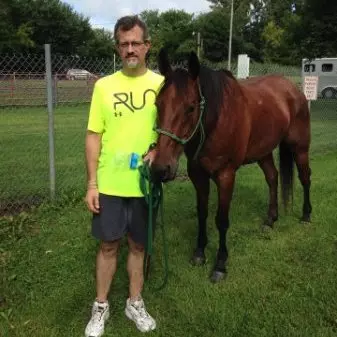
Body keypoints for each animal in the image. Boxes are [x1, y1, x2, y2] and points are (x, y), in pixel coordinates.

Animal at [151, 48, 312, 282]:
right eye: (158, 104)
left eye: (190, 108)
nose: (161, 168)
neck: (216, 120)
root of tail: (293, 89)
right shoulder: (197, 175)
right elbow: (202, 213)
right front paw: (199, 253)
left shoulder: (226, 176)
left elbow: (221, 220)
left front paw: (220, 264)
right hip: (264, 152)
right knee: (273, 178)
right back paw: (270, 220)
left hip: (300, 148)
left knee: (305, 177)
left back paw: (306, 216)